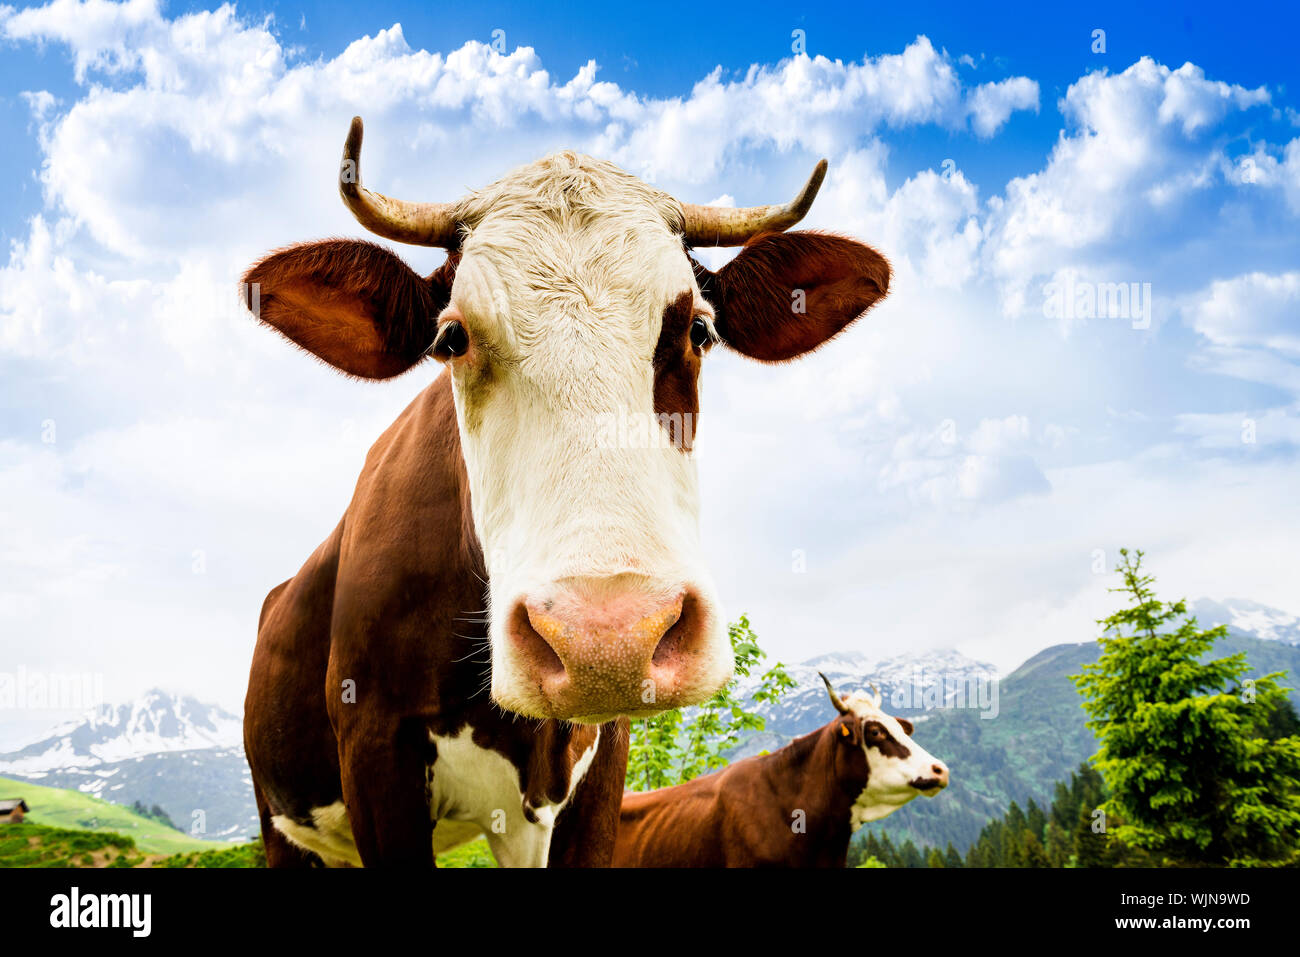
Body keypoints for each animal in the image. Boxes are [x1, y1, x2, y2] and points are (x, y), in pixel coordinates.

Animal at [241, 117, 894, 868]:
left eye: (698, 329)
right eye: (452, 337)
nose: (605, 641)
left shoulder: (601, 765)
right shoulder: (375, 751)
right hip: (282, 821)